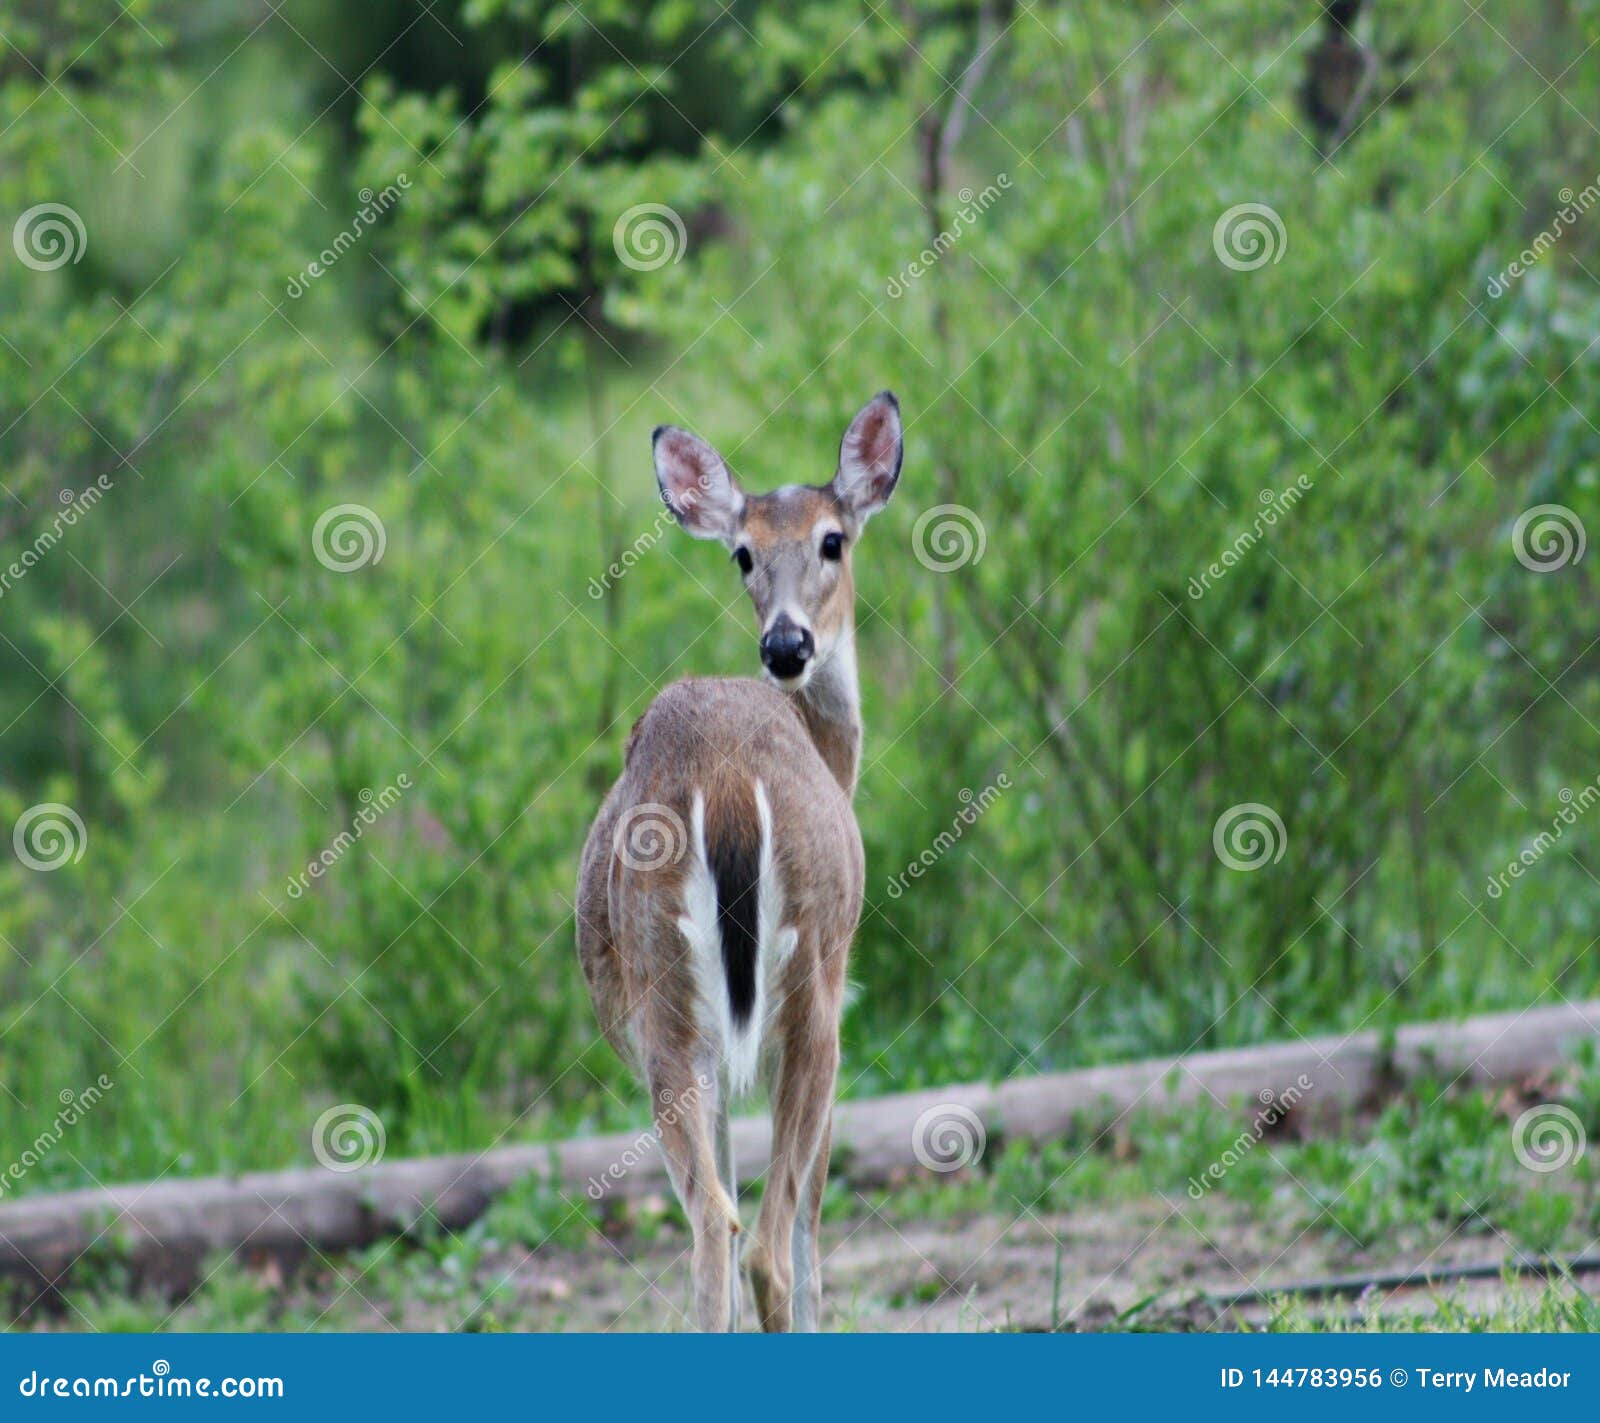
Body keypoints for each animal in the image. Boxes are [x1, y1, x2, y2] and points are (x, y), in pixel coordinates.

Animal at [575, 392, 903, 1332]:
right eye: (744, 554)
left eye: (832, 540)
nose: (786, 645)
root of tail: (721, 780)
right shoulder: (835, 990)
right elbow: (813, 1207)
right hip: (814, 978)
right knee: (765, 1243)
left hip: (662, 1002)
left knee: (711, 1224)